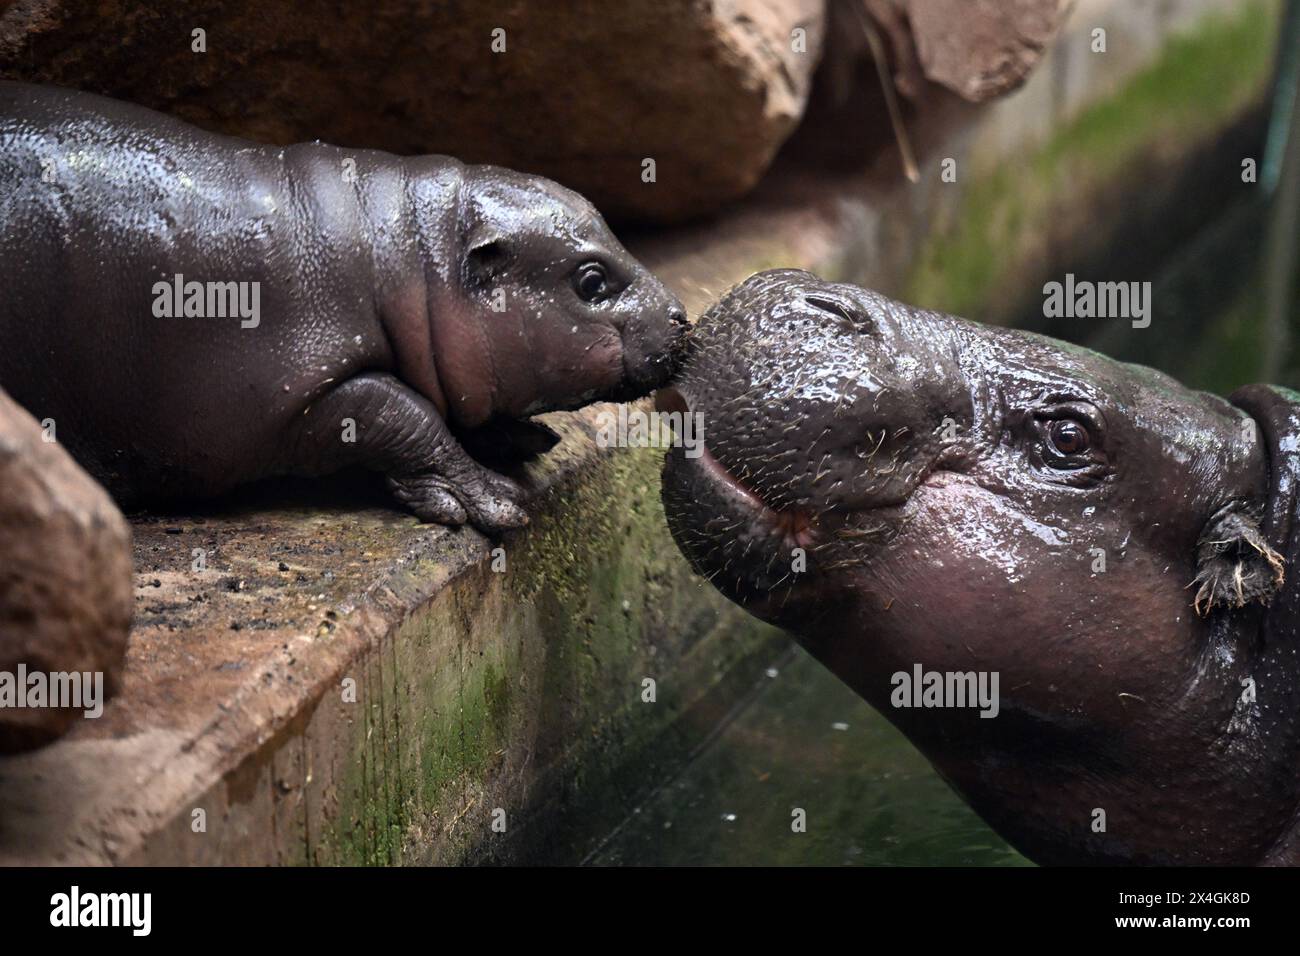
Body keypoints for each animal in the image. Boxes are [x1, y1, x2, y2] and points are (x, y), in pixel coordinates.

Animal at [0, 81, 686, 532]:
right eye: (591, 280)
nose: (681, 317)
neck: (406, 256)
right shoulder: (302, 390)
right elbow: (403, 412)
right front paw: (493, 502)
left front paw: (523, 438)